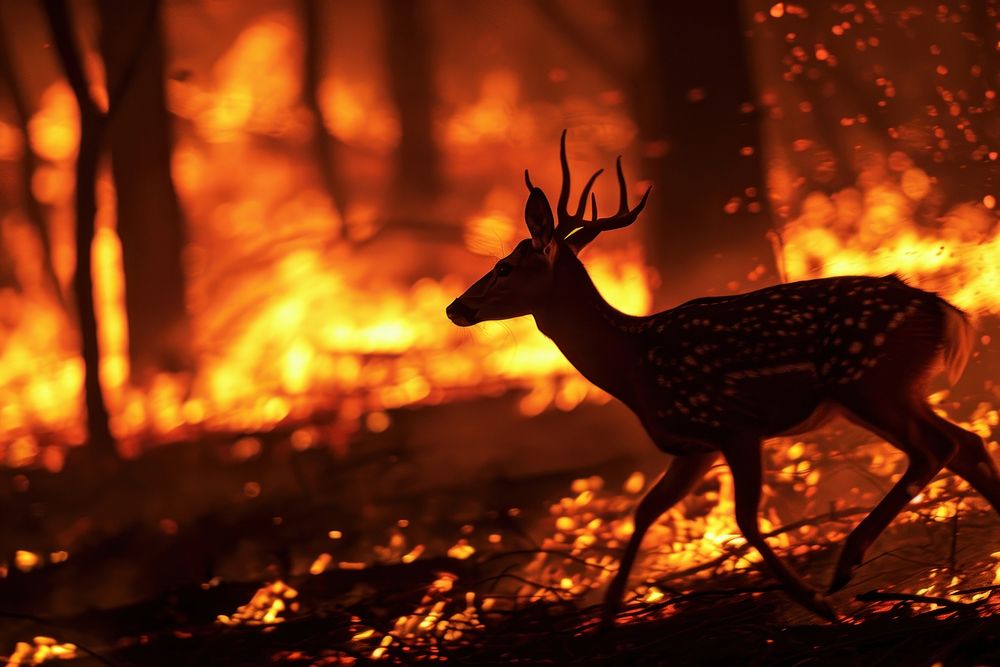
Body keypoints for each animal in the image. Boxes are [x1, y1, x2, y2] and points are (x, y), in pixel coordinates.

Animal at [446, 131, 1000, 623]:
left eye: (503, 266)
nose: (455, 307)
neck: (633, 363)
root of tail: (938, 308)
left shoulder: (734, 423)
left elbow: (745, 518)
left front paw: (813, 602)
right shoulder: (693, 445)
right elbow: (645, 510)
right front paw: (605, 619)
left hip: (869, 381)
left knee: (935, 448)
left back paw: (845, 566)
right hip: (896, 388)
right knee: (967, 442)